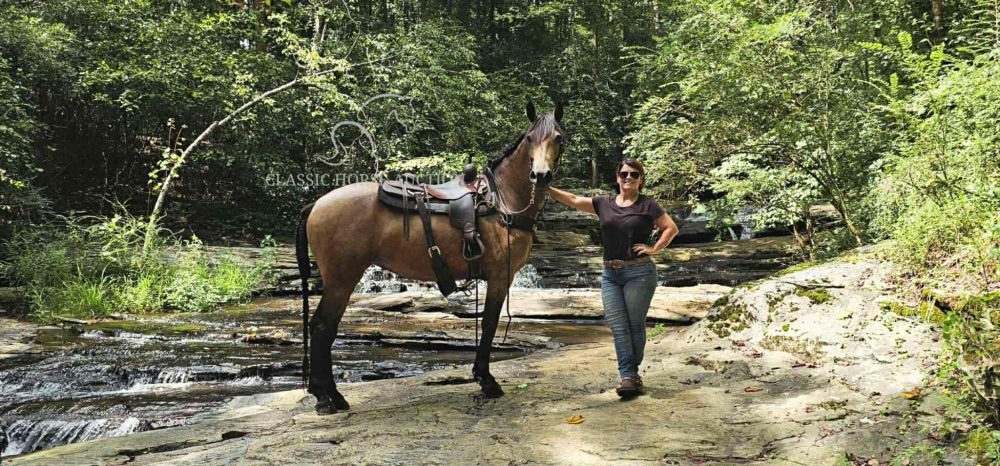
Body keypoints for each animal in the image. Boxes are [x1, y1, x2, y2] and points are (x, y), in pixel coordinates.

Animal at [295, 102, 567, 414]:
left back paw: (331, 396)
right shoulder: (501, 276)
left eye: (559, 138)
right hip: (342, 279)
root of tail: (316, 204)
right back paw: (326, 398)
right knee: (322, 328)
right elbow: (489, 324)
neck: (502, 201)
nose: (540, 175)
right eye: (531, 138)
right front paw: (487, 381)